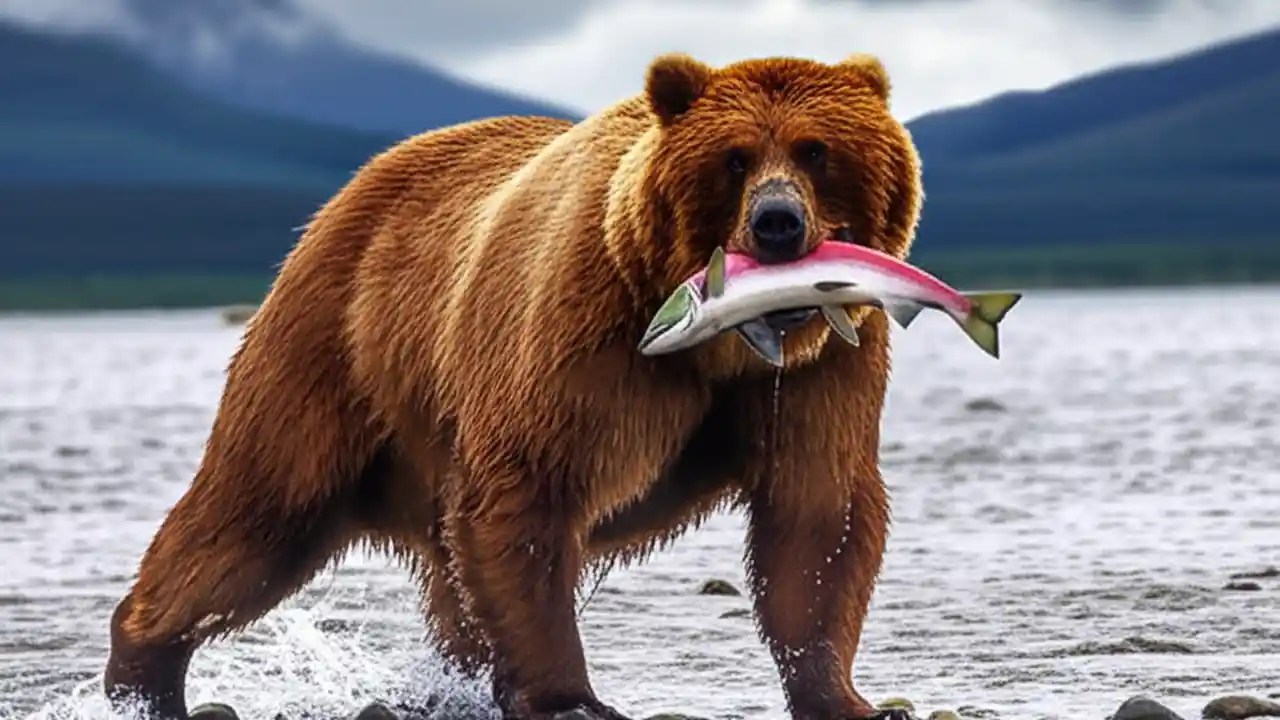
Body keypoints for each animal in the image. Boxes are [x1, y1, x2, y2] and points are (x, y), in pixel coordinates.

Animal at [103, 50, 922, 720]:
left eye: (817, 151)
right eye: (735, 158)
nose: (778, 222)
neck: (724, 347)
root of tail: (351, 191)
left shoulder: (823, 369)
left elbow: (817, 513)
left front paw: (849, 698)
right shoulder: (583, 334)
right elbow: (529, 491)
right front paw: (571, 699)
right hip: (335, 351)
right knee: (256, 513)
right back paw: (142, 671)